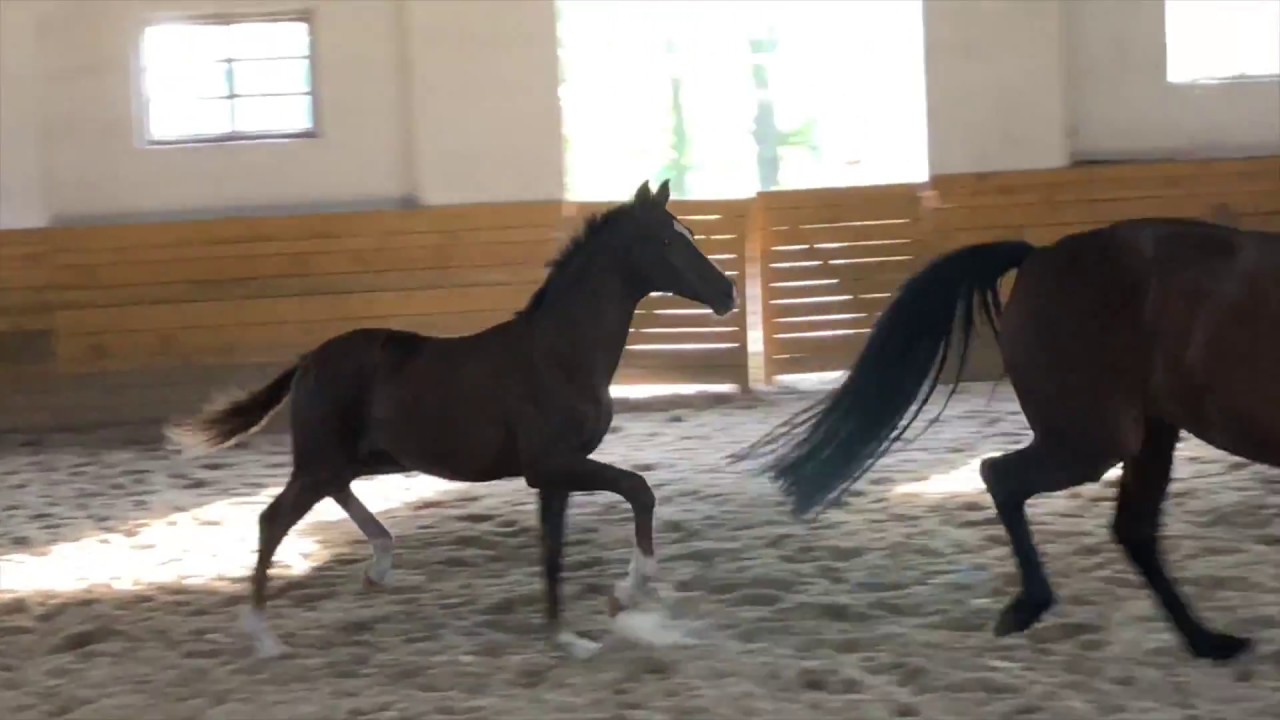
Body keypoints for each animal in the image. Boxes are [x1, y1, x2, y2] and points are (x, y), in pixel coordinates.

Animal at [165, 179, 738, 659]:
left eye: (687, 234)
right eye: (666, 242)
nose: (728, 292)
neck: (559, 354)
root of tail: (308, 360)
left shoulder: (554, 477)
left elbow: (553, 551)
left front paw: (566, 635)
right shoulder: (552, 465)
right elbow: (639, 490)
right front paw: (626, 592)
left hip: (361, 458)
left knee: (332, 492)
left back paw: (379, 564)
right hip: (323, 459)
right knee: (274, 519)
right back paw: (264, 635)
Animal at [735, 217, 1279, 662]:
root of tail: (1040, 256)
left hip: (1147, 435)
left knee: (1132, 529)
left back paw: (1207, 642)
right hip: (1093, 440)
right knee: (1000, 475)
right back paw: (1029, 606)